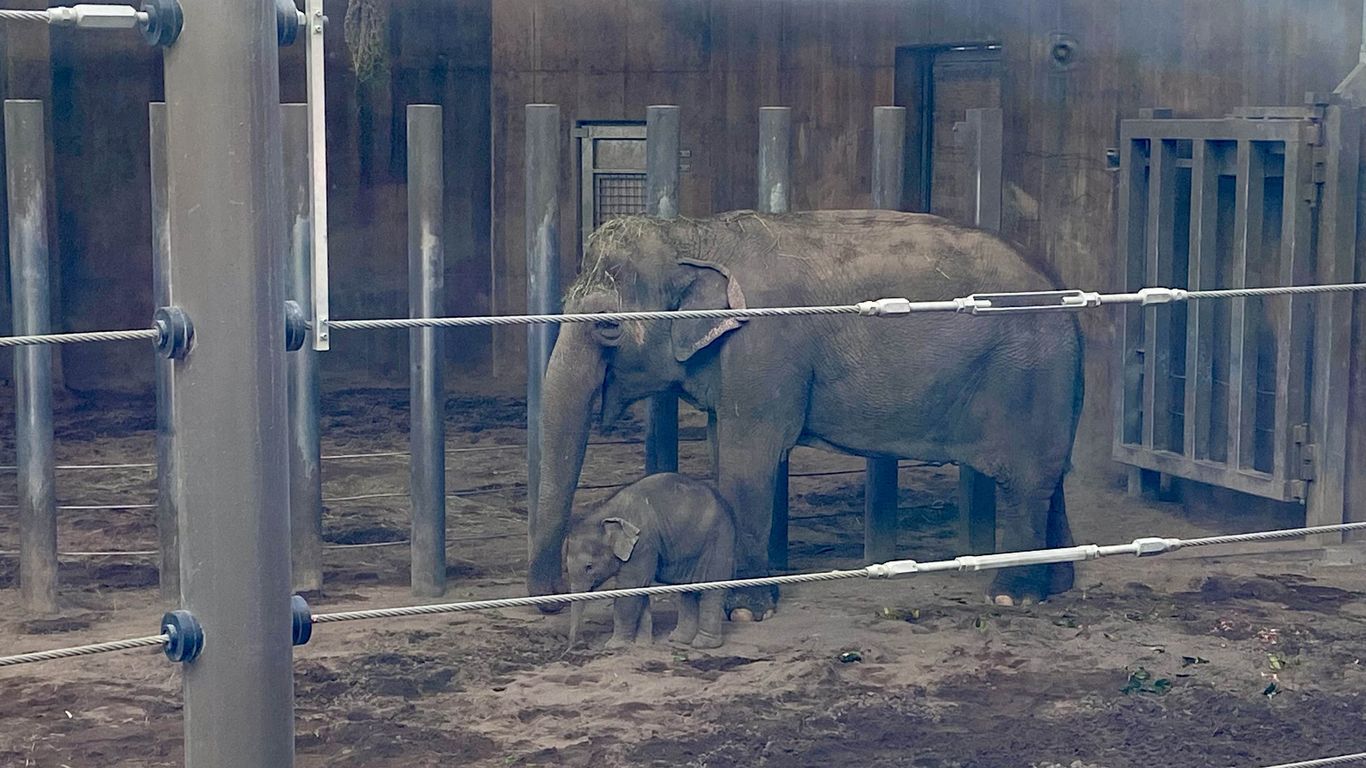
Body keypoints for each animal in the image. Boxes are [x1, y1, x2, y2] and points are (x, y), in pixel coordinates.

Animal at [529, 209, 1083, 621]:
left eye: (608, 327)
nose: (552, 599)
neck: (695, 234)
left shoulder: (763, 347)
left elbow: (747, 459)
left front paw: (745, 610)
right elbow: (725, 449)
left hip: (1027, 376)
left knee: (1026, 480)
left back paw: (1012, 595)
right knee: (1049, 477)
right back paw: (1057, 585)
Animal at [562, 472, 736, 650]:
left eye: (589, 567)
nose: (576, 645)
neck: (605, 514)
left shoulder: (643, 544)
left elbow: (631, 586)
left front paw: (614, 645)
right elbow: (640, 588)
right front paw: (642, 643)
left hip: (718, 542)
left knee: (712, 589)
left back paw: (703, 644)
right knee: (689, 590)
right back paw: (679, 639)